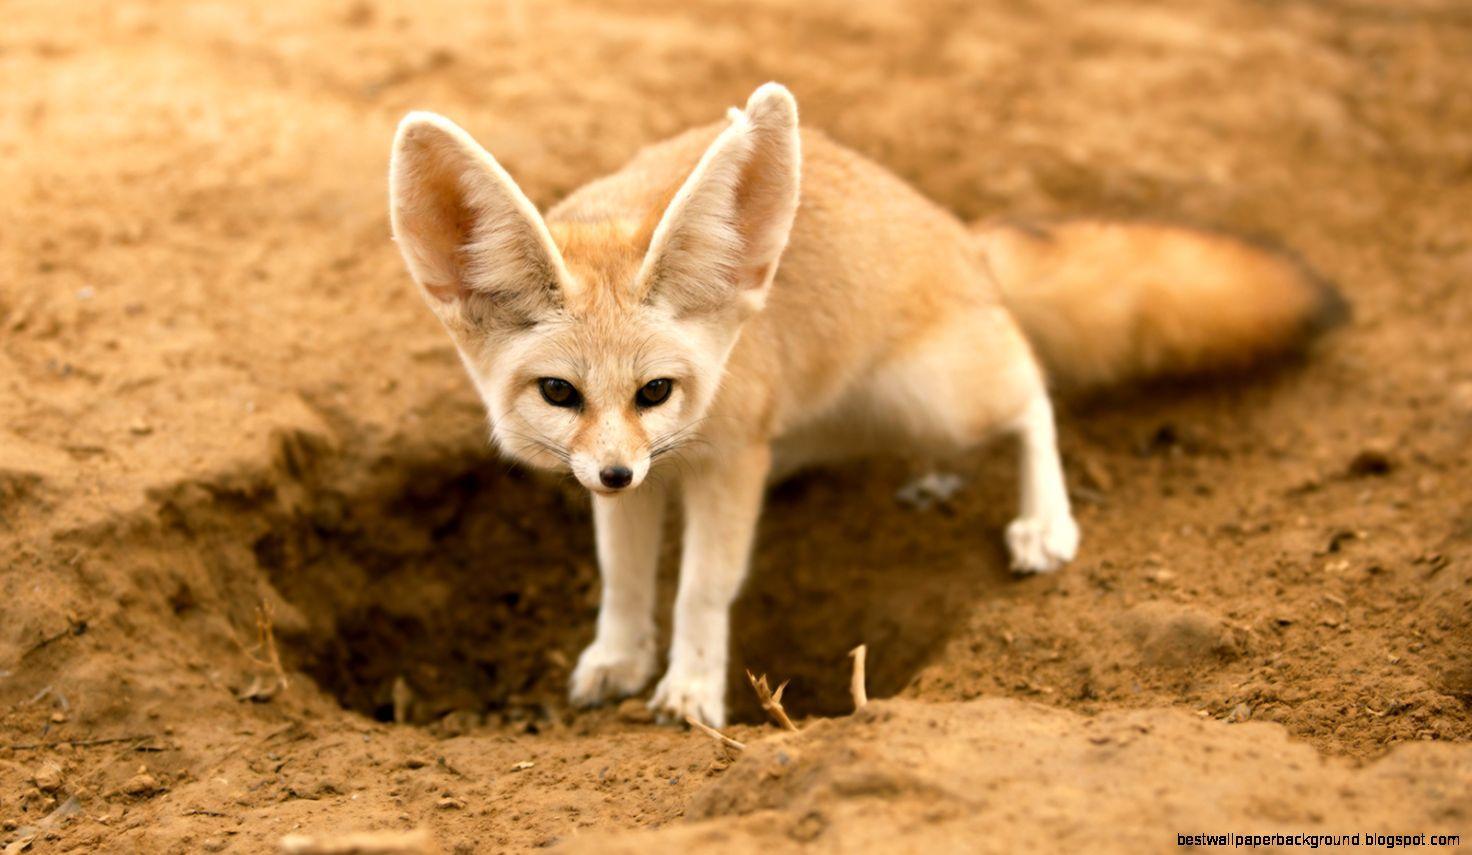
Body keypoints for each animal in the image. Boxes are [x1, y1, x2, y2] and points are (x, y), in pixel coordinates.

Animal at [388, 83, 1346, 727]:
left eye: (655, 390)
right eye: (560, 392)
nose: (618, 472)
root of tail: (964, 237)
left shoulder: (730, 460)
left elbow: (702, 586)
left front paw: (691, 687)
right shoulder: (643, 477)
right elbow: (623, 576)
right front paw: (620, 656)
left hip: (938, 393)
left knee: (1032, 389)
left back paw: (1045, 520)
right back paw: (934, 479)